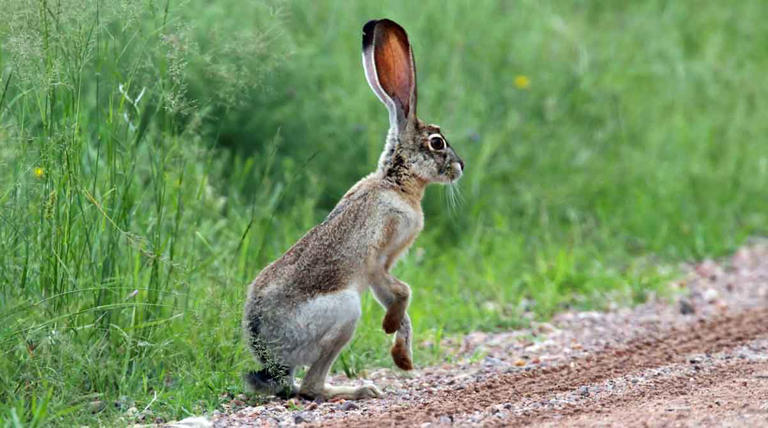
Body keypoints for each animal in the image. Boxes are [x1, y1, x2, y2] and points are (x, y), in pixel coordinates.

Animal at [242, 18, 464, 401]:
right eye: (437, 143)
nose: (460, 167)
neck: (396, 182)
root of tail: (271, 358)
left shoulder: (381, 269)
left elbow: (397, 297)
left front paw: (402, 357)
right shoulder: (378, 254)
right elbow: (404, 291)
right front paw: (390, 327)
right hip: (345, 313)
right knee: (310, 387)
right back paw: (359, 390)